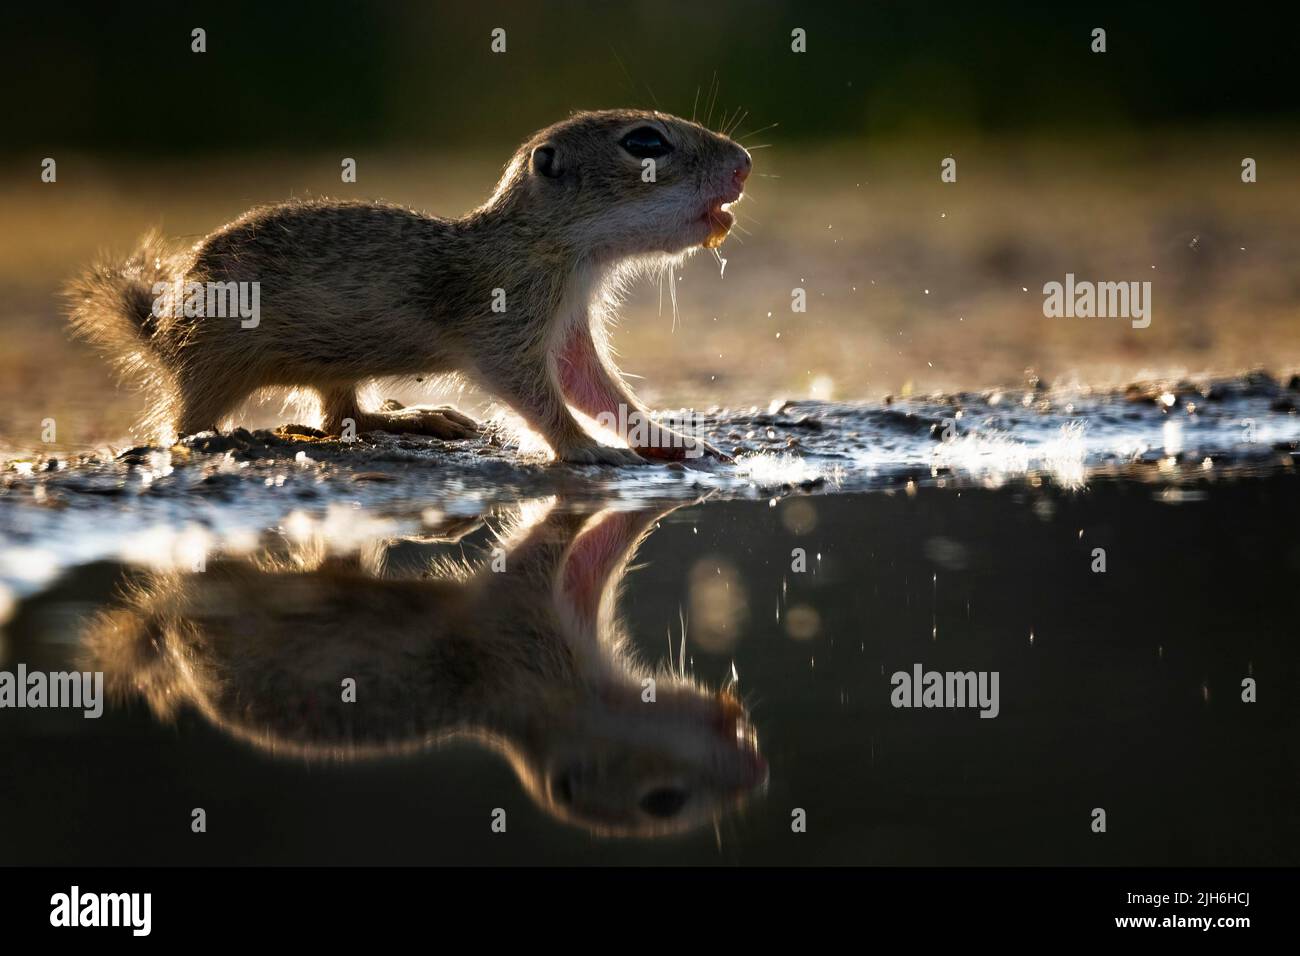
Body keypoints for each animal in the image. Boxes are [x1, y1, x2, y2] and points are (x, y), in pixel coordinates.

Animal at [66, 110, 751, 464]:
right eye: (645, 142)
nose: (744, 163)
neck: (562, 252)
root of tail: (158, 329)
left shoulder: (567, 327)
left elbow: (595, 386)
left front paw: (671, 439)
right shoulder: (505, 323)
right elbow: (533, 392)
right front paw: (584, 448)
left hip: (332, 367)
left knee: (346, 415)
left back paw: (419, 418)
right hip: (214, 364)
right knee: (179, 428)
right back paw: (228, 435)